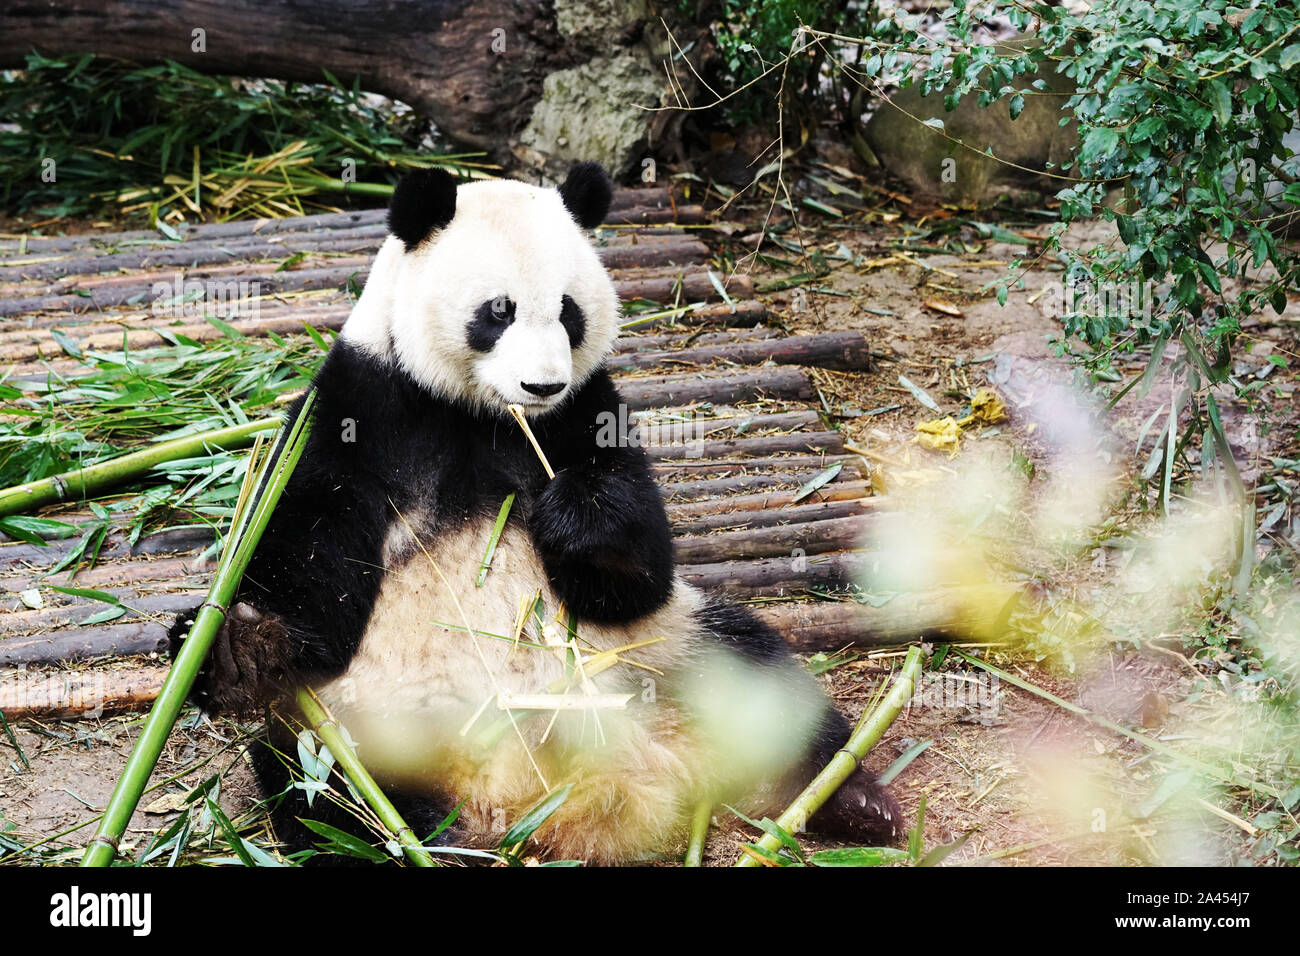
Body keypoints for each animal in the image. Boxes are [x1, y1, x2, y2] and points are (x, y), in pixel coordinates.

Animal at [170, 162, 903, 864]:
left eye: (569, 312)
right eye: (498, 311)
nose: (542, 384)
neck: (478, 412)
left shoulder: (586, 411)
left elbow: (635, 567)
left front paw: (576, 519)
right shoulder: (359, 408)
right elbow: (311, 573)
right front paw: (236, 648)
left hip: (668, 651)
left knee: (758, 673)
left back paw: (852, 799)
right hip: (353, 728)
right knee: (318, 792)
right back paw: (429, 838)